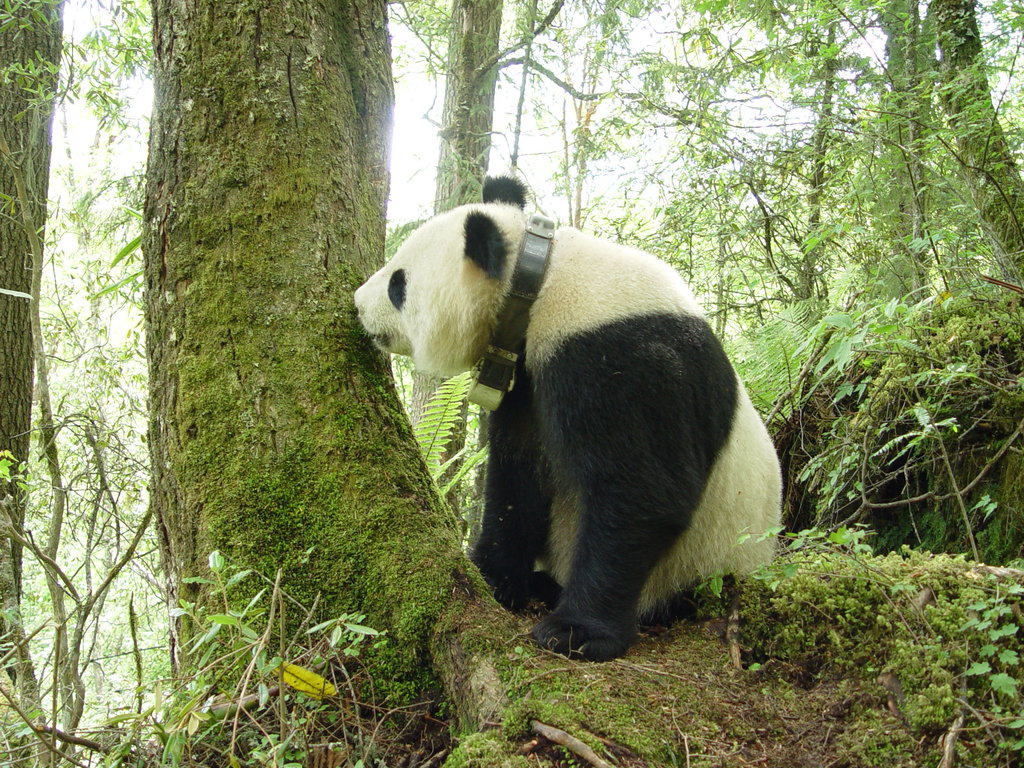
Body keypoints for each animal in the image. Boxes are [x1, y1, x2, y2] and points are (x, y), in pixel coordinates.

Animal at [354, 176, 781, 661]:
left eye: (398, 283)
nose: (356, 305)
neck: (541, 273)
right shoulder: (529, 375)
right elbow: (520, 469)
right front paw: (496, 576)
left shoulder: (616, 357)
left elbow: (642, 490)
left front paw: (577, 631)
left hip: (710, 555)